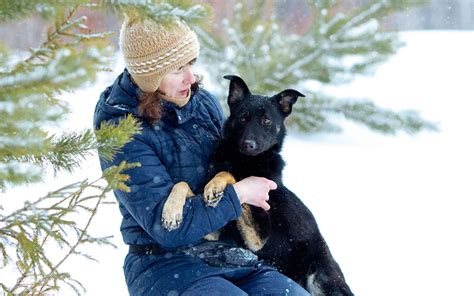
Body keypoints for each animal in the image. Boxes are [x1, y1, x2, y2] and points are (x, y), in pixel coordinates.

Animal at [163, 75, 352, 294]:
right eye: (243, 118)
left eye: (266, 121)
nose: (249, 145)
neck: (245, 161)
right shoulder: (213, 232)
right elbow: (182, 184)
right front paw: (171, 212)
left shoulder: (258, 239)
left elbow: (230, 175)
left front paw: (215, 186)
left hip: (320, 277)